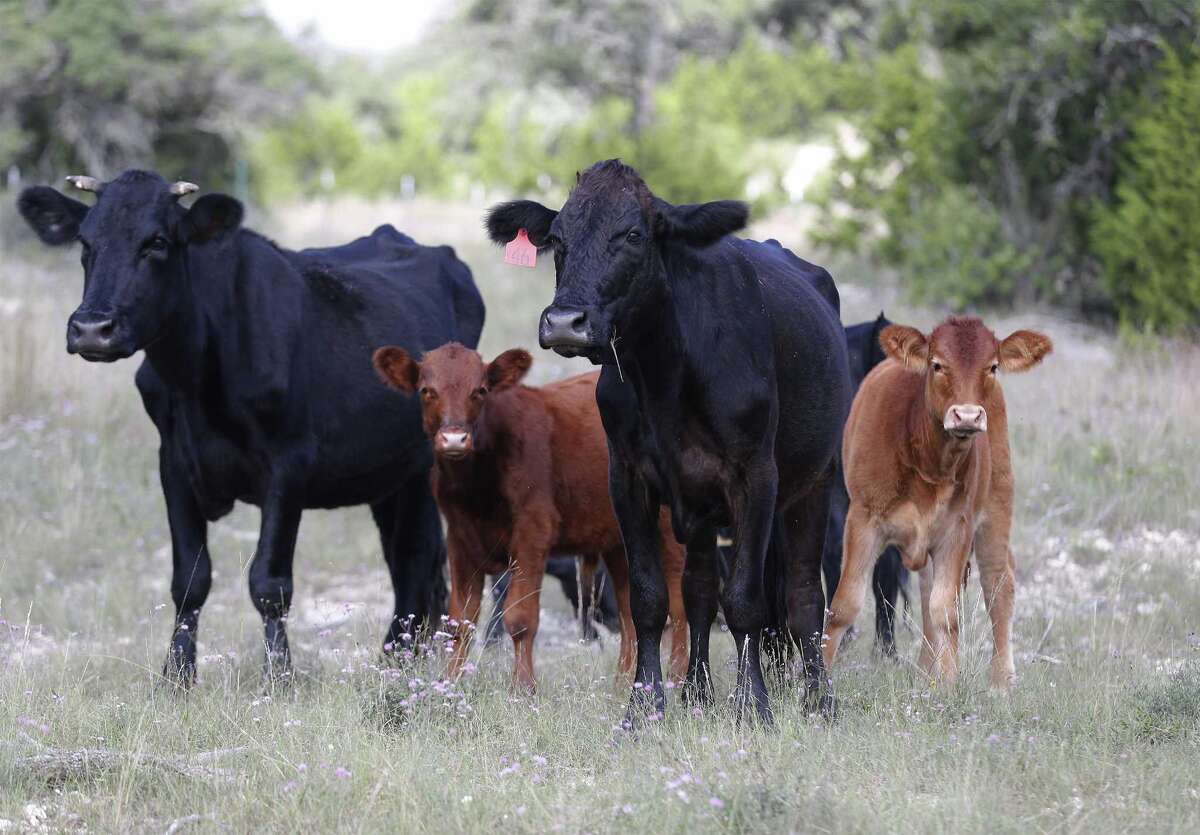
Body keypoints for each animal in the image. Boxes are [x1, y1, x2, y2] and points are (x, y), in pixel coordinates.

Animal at [16, 170, 485, 684]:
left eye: (157, 241)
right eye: (86, 242)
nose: (91, 328)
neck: (196, 378)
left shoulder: (289, 464)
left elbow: (269, 581)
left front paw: (278, 676)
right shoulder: (173, 463)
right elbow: (190, 578)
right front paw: (176, 678)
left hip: (426, 462)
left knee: (416, 558)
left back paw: (399, 663)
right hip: (388, 475)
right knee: (410, 562)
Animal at [371, 343, 688, 691]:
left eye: (480, 391)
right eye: (427, 391)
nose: (454, 438)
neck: (475, 485)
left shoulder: (532, 532)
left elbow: (521, 617)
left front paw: (522, 688)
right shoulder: (459, 537)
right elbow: (459, 620)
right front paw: (449, 684)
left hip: (668, 531)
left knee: (677, 606)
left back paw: (677, 680)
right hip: (618, 539)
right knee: (629, 611)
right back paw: (623, 685)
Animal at [486, 159, 851, 725]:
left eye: (633, 235)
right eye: (557, 238)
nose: (565, 322)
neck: (665, 375)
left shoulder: (756, 476)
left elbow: (746, 599)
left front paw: (754, 706)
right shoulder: (628, 479)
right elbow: (651, 599)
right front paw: (644, 706)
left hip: (817, 478)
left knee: (804, 592)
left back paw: (820, 699)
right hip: (699, 508)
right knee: (698, 592)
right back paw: (698, 693)